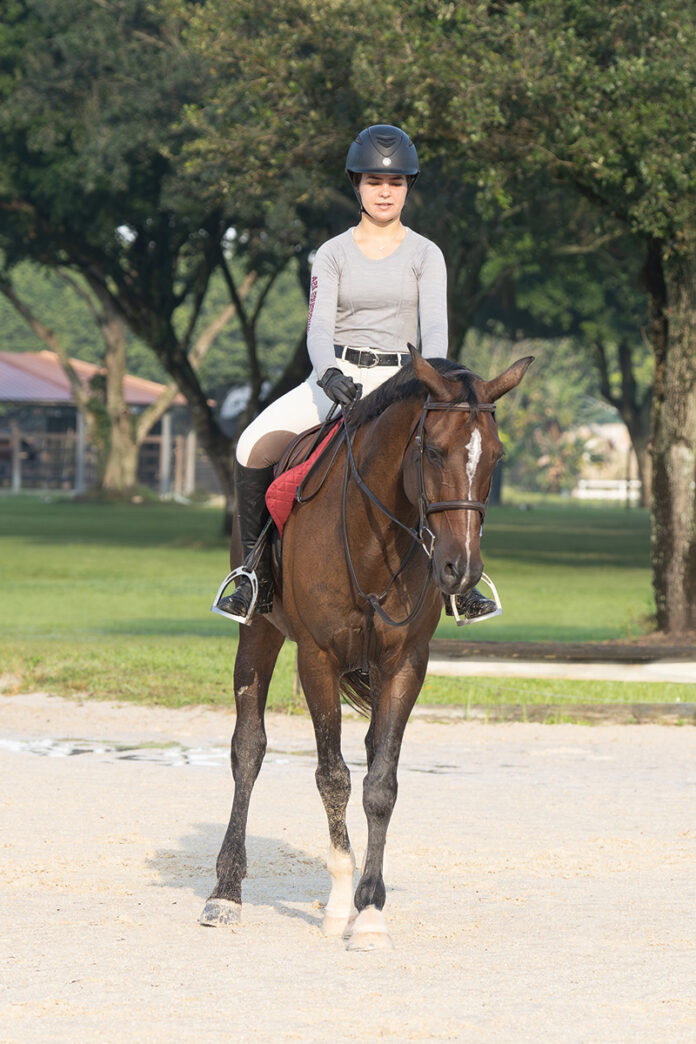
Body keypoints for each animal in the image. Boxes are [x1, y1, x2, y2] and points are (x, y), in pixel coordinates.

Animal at [201, 347, 533, 949]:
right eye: (432, 449)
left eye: (496, 456)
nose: (461, 569)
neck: (376, 535)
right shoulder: (317, 658)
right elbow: (332, 777)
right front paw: (339, 904)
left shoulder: (405, 663)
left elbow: (381, 783)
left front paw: (371, 911)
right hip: (259, 632)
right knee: (248, 749)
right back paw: (226, 892)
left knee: (370, 747)